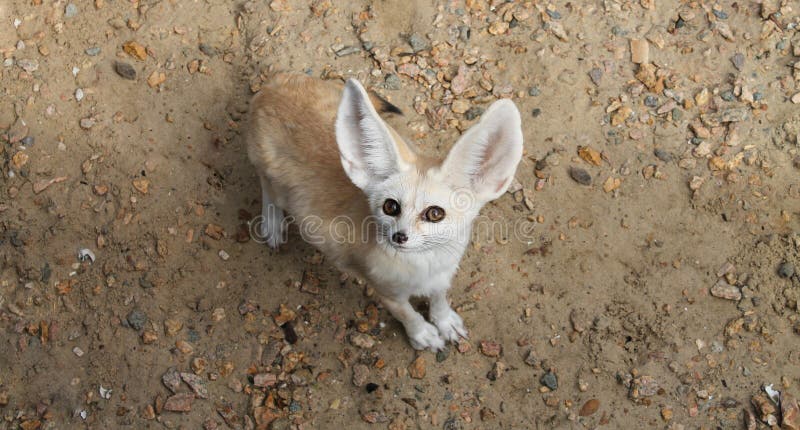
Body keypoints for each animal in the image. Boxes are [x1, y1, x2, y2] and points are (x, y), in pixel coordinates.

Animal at [246, 73, 523, 351]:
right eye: (391, 207)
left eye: (434, 213)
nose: (399, 237)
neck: (425, 266)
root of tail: (278, 81)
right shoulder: (386, 292)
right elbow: (408, 314)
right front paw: (423, 334)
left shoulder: (443, 277)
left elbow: (440, 300)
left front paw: (445, 322)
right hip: (271, 177)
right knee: (266, 188)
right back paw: (272, 223)